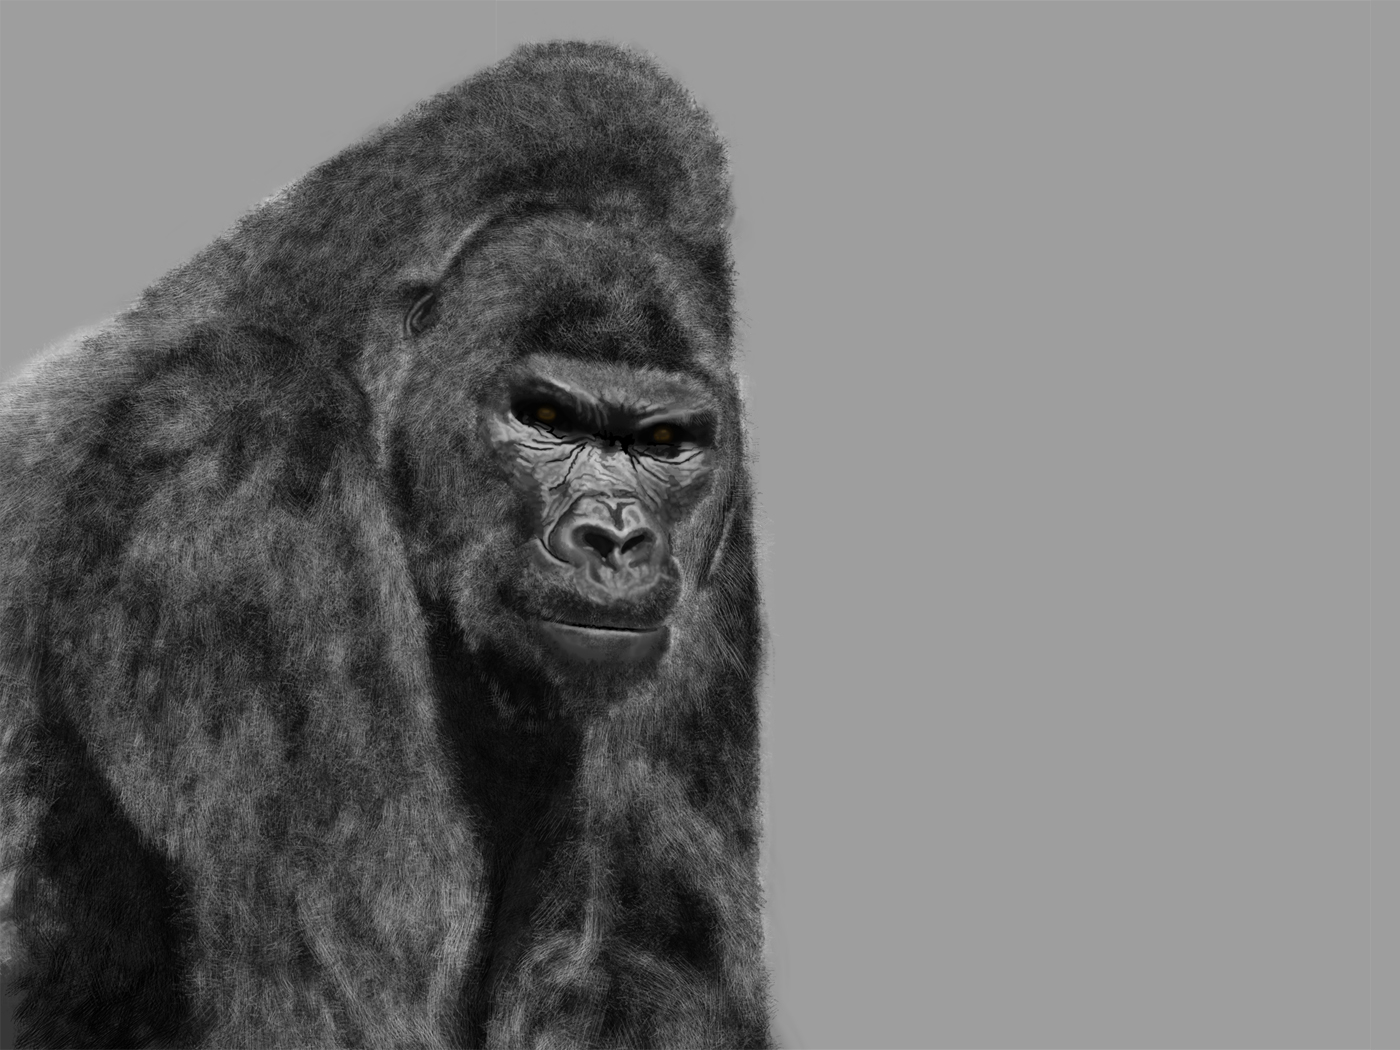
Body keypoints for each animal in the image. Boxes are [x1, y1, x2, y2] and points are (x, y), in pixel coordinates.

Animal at [0, 41, 770, 1049]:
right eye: (545, 418)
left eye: (665, 442)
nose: (616, 537)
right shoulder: (243, 456)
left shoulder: (721, 526)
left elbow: (634, 963)